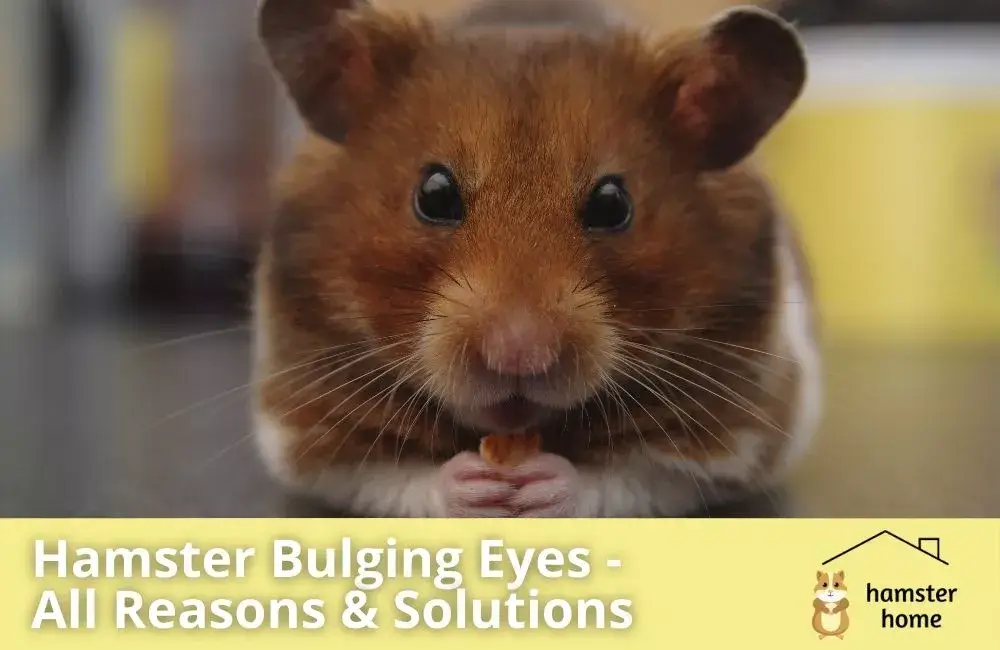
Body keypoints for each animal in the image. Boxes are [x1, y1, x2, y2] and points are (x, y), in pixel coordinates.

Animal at [250, 0, 823, 517]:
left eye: (613, 204)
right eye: (434, 195)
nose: (518, 356)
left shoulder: (739, 433)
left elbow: (631, 476)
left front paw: (544, 483)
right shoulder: (305, 428)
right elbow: (394, 476)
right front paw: (473, 485)